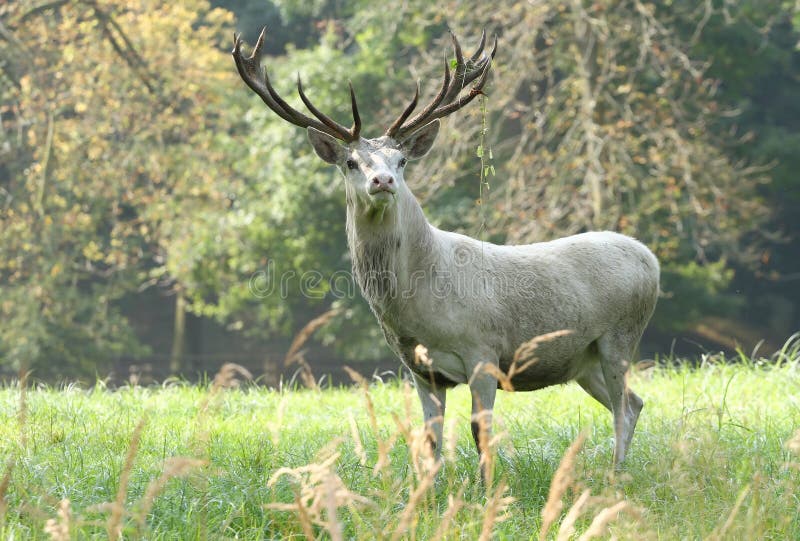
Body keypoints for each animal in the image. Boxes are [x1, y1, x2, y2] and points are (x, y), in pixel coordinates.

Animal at [232, 28, 660, 476]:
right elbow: (429, 439)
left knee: (623, 407)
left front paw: (487, 487)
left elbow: (481, 433)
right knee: (633, 402)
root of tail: (650, 258)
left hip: (621, 336)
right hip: (582, 358)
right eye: (351, 162)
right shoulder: (420, 370)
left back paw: (615, 474)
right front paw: (427, 489)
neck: (421, 305)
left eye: (401, 160)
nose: (383, 180)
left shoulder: (484, 351)